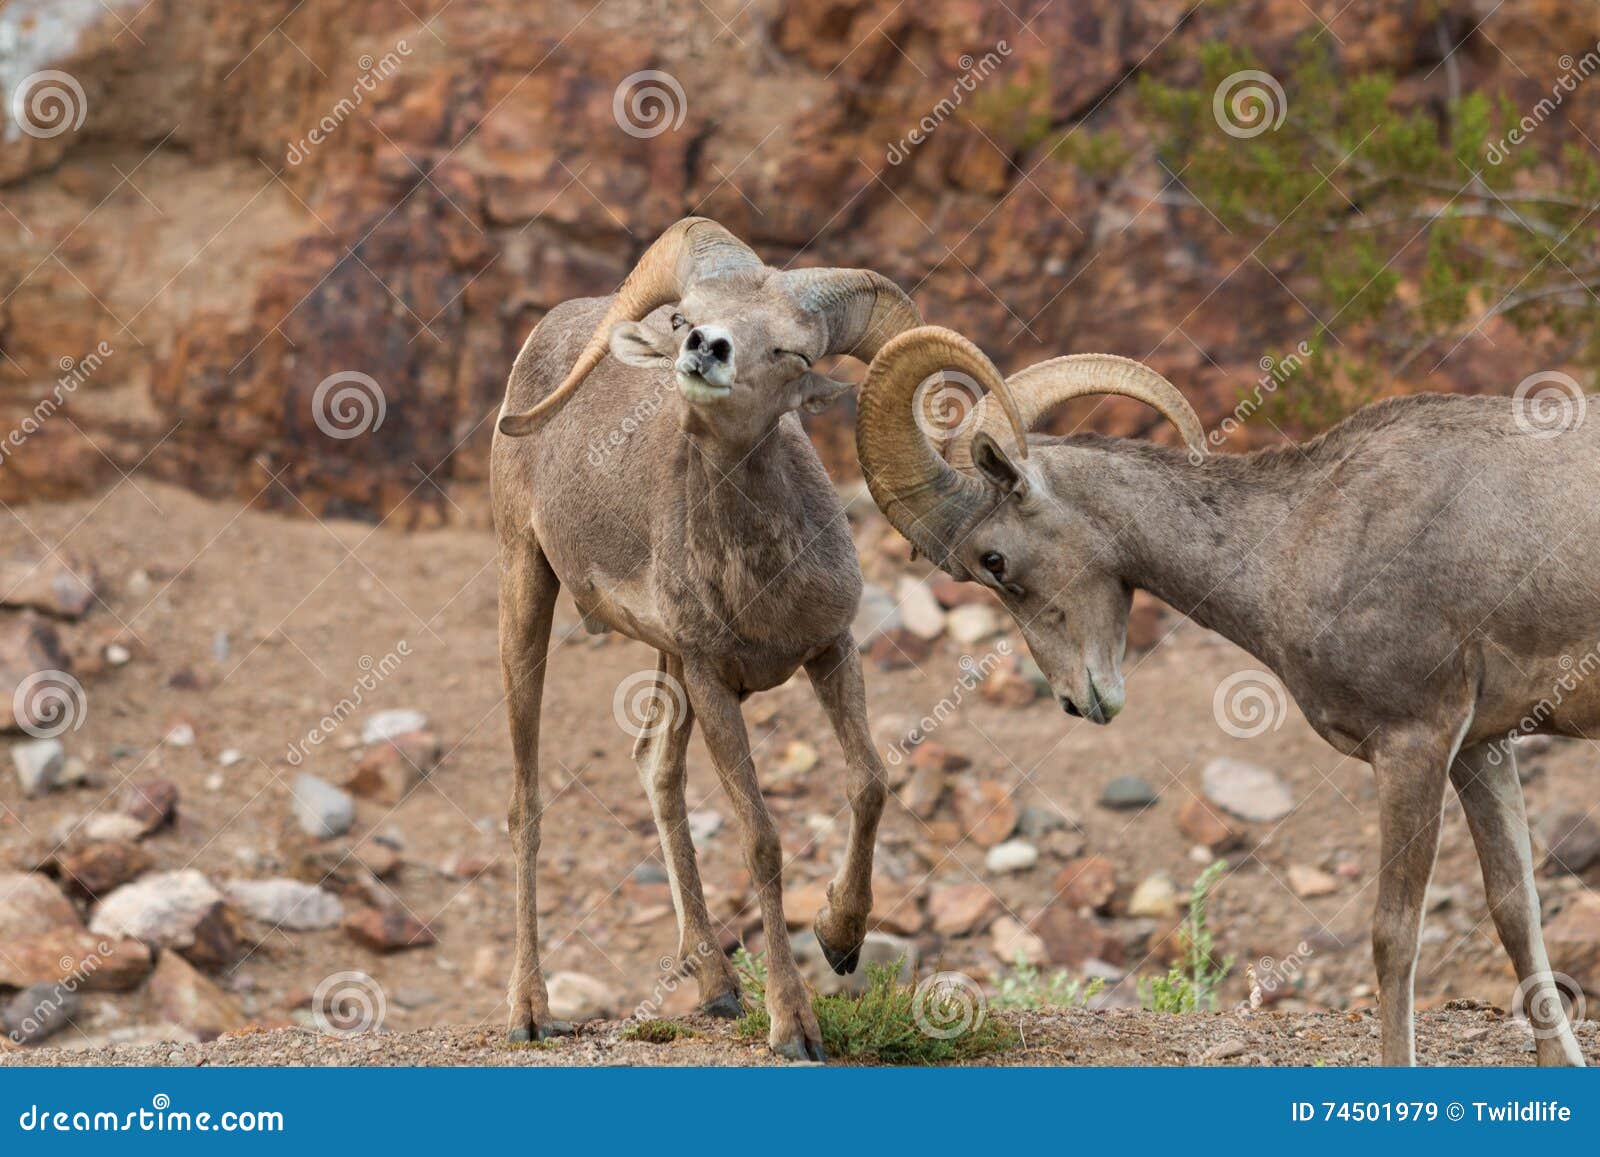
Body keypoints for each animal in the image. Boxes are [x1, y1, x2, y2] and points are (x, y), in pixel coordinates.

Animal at [491, 217, 930, 1061]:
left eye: (793, 351)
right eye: (684, 313)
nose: (703, 346)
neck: (759, 579)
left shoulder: (831, 649)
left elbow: (869, 782)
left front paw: (841, 938)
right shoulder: (713, 680)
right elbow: (762, 839)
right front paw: (794, 1026)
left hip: (662, 660)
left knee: (655, 766)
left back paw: (717, 985)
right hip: (526, 586)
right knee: (525, 800)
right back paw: (531, 1010)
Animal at [855, 325, 1593, 1067]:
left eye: (994, 560)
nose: (1078, 700)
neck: (1299, 538)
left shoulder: (1414, 742)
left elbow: (1394, 935)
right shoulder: (1479, 748)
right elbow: (1515, 909)